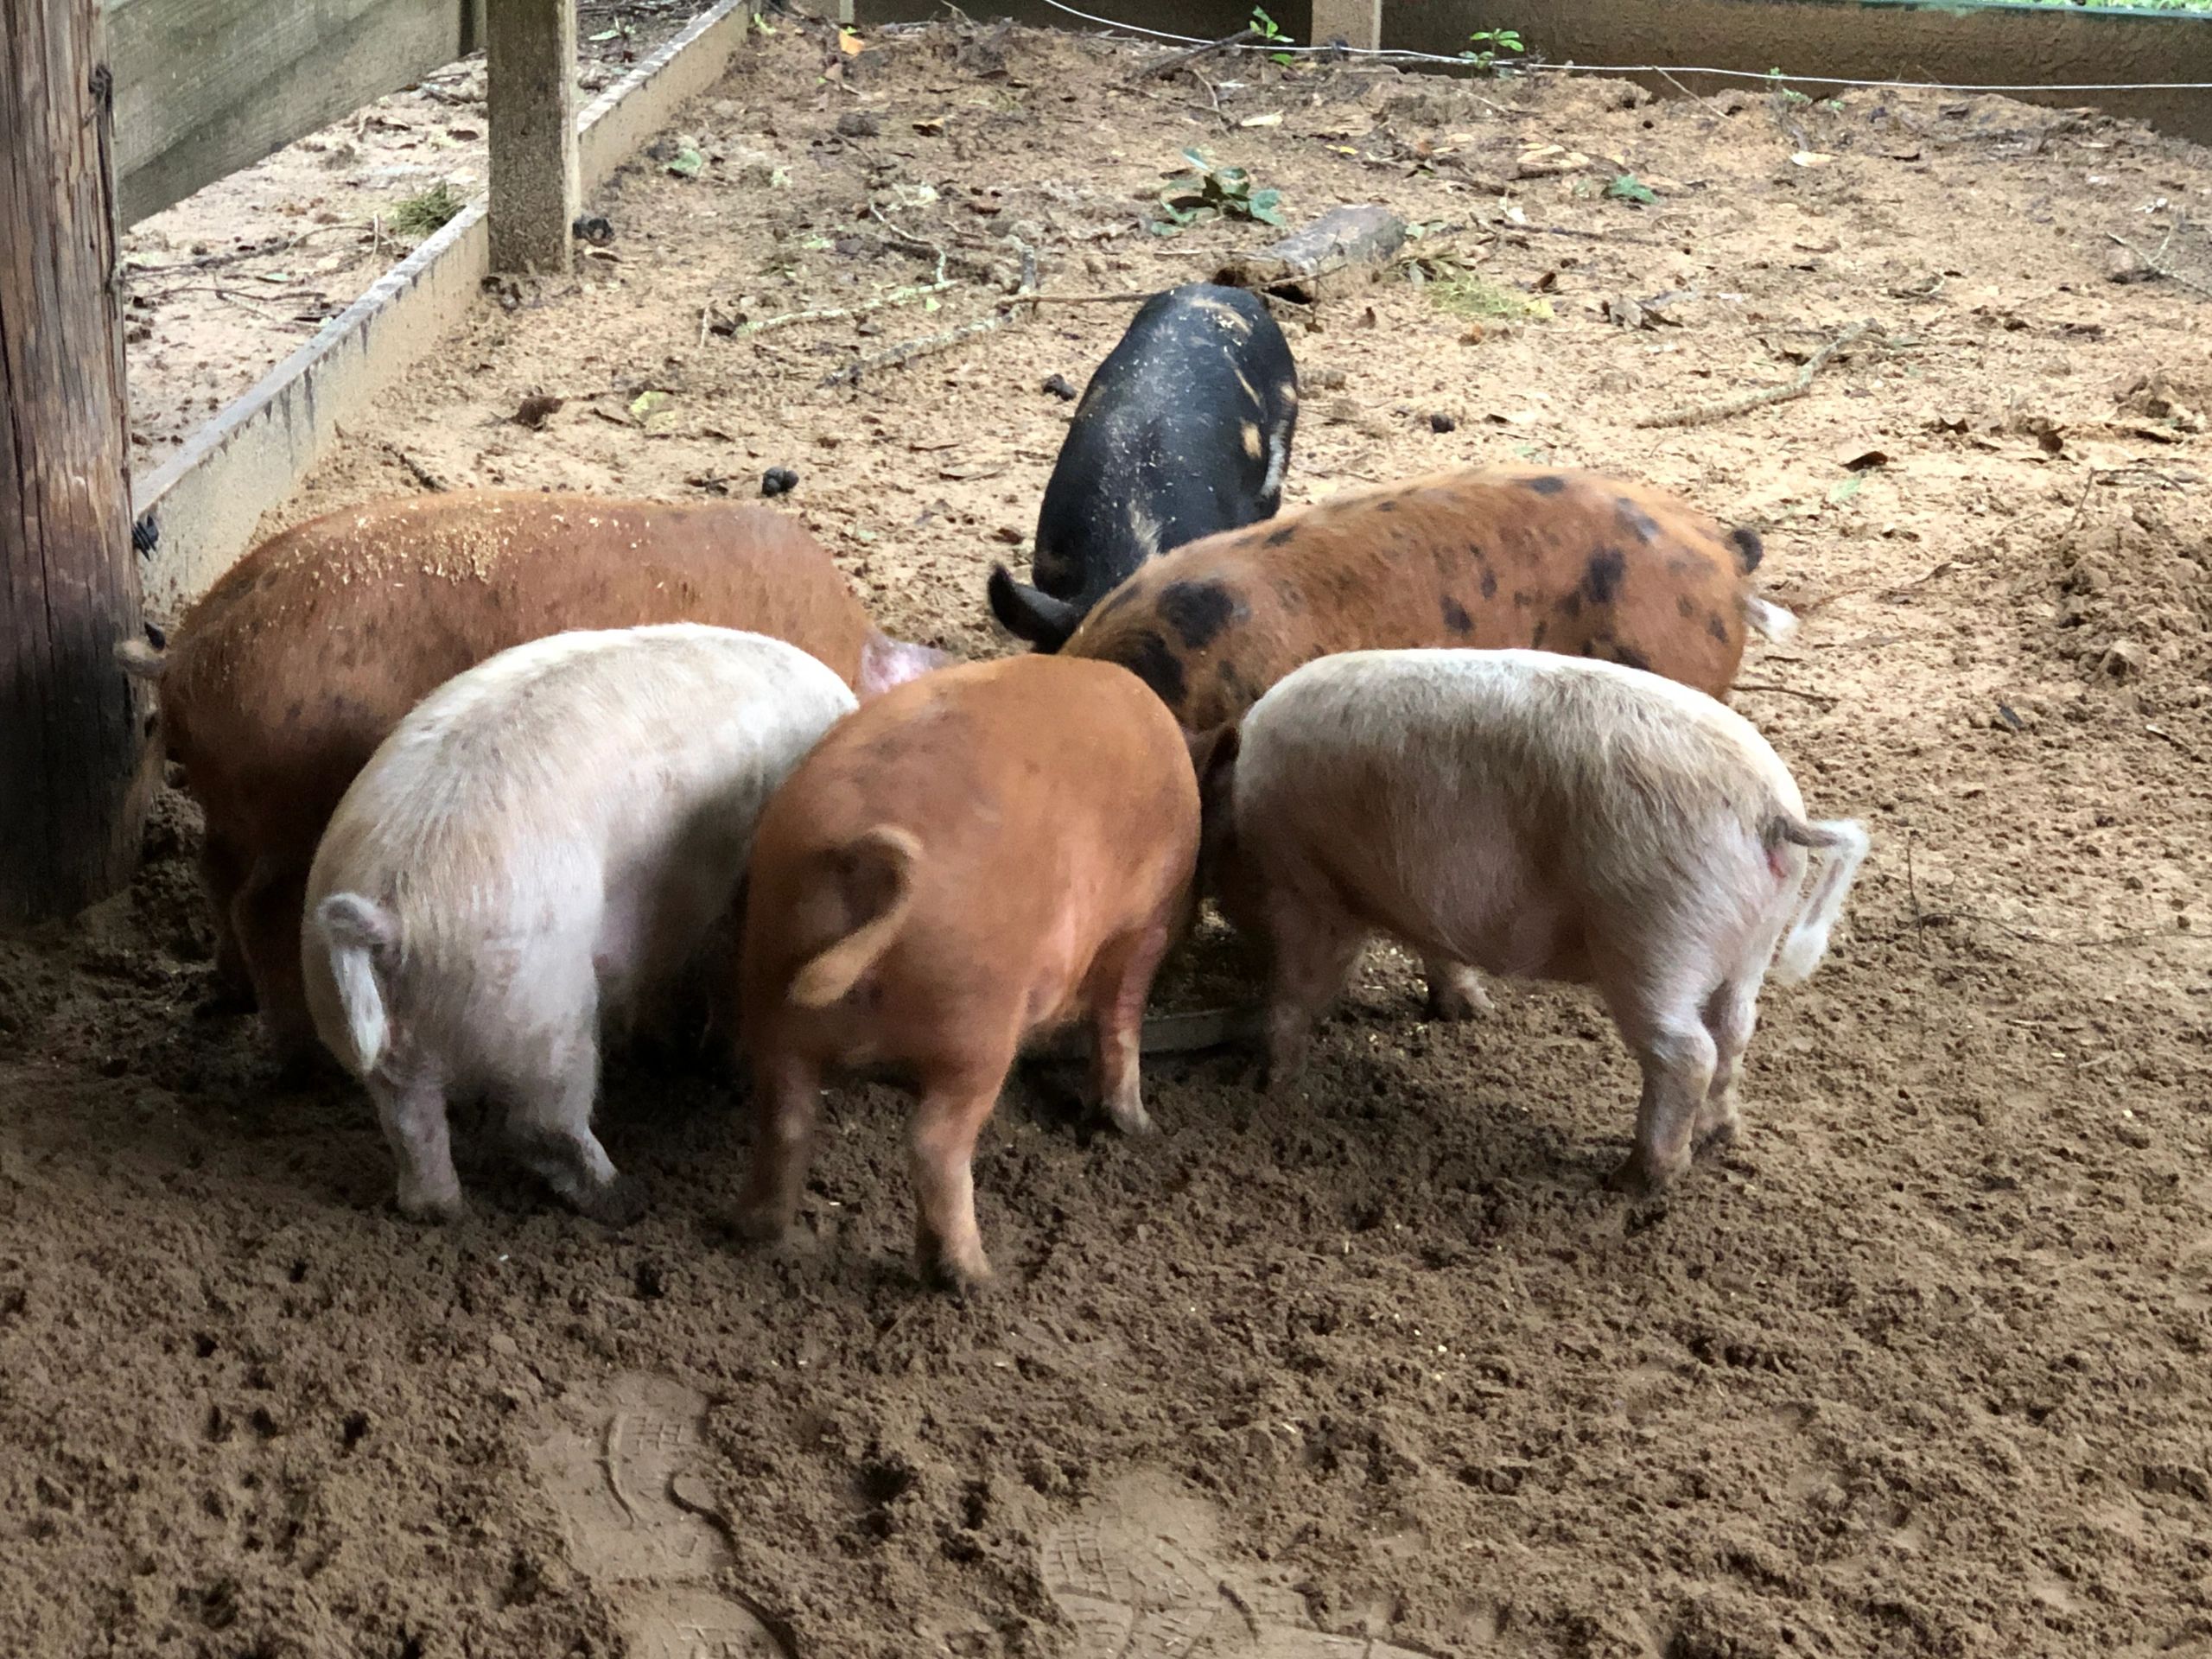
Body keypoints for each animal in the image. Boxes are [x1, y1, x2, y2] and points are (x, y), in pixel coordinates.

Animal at [118, 490, 945, 1066]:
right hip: (298, 801)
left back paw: (225, 994)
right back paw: (303, 1061)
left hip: (236, 805)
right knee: (261, 908)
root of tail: (187, 652)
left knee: (215, 876)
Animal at [303, 625, 856, 1223]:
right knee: (541, 1125)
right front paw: (721, 1067)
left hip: (375, 1039)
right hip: (549, 1009)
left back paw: (442, 1212)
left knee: (410, 1125)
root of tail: (388, 917)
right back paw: (625, 1198)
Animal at [734, 656, 1201, 1289]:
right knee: (935, 1145)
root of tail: (865, 857)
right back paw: (974, 1277)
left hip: (773, 991)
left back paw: (759, 1229)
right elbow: (1122, 1020)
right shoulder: (1145, 924)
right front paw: (1137, 1126)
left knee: (786, 1117)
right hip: (974, 1027)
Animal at [1199, 648, 1868, 1196]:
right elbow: (1439, 952)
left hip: (1658, 937)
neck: (1245, 803)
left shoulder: (1307, 886)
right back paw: (1716, 1137)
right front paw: (1468, 1011)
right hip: (1749, 944)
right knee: (1735, 1030)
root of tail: (1772, 811)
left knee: (1685, 1053)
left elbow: (1301, 988)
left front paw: (1267, 1083)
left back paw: (1633, 1179)